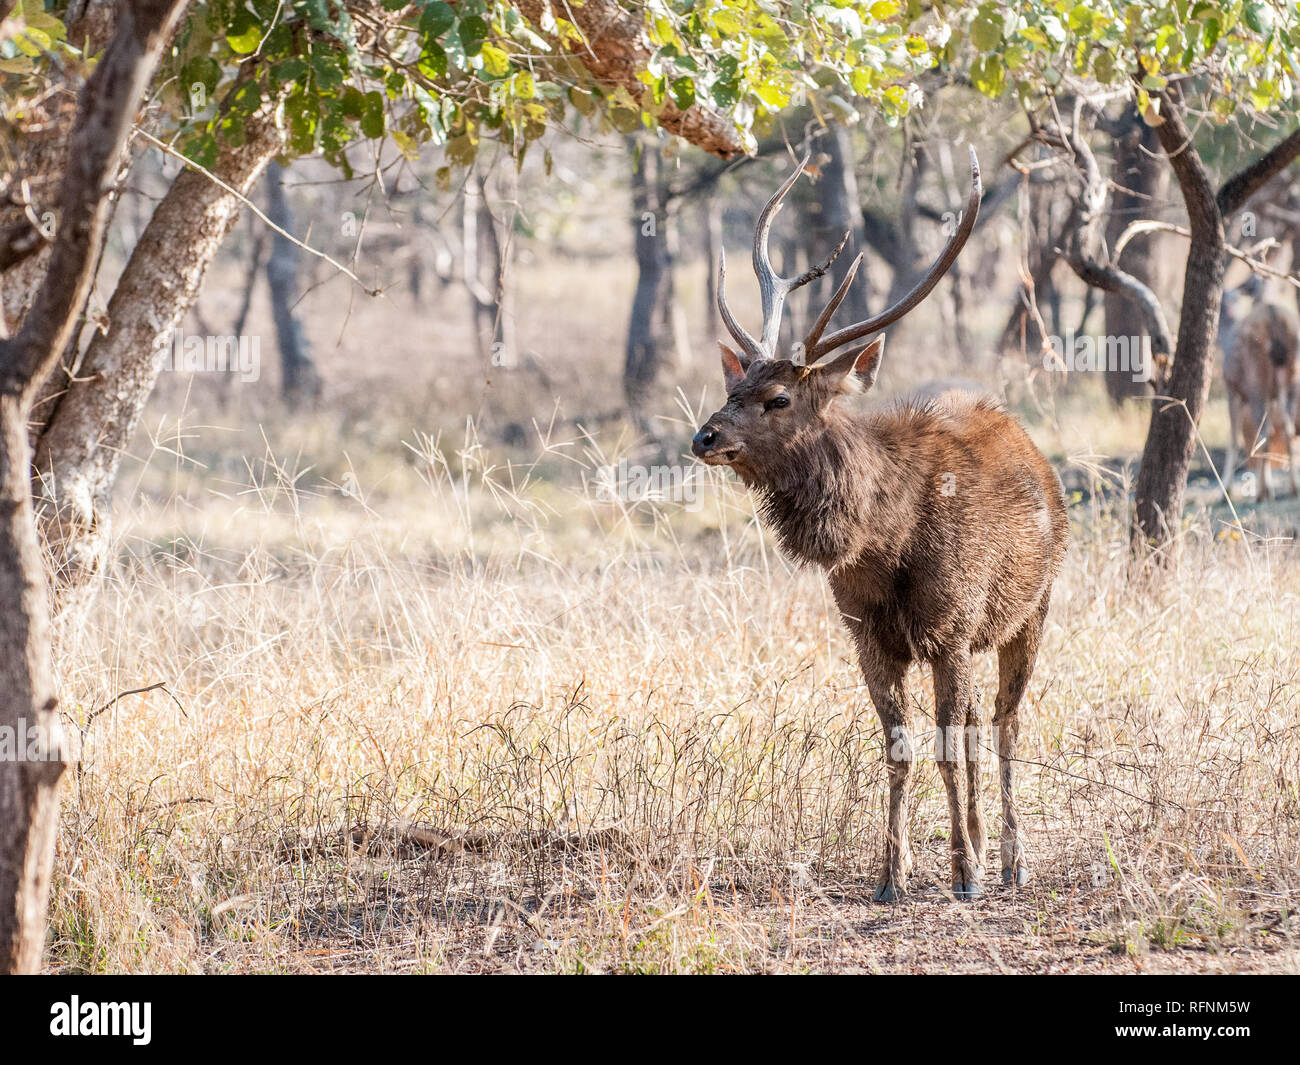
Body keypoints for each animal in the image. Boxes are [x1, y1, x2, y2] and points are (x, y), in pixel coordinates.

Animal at [691, 149, 1068, 902]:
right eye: (732, 386)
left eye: (778, 398)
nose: (704, 436)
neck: (885, 544)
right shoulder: (867, 634)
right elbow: (899, 749)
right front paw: (892, 873)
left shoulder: (952, 624)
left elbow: (948, 748)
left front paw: (965, 874)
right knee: (979, 724)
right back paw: (980, 840)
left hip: (1032, 608)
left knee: (1005, 725)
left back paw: (1010, 858)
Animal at [1217, 277, 1300, 500]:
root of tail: (1274, 318)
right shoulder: (1272, 396)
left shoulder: (1233, 389)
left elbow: (1233, 438)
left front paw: (1225, 490)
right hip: (1292, 379)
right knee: (1288, 430)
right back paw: (1293, 487)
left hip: (1257, 381)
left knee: (1263, 433)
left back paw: (1262, 493)